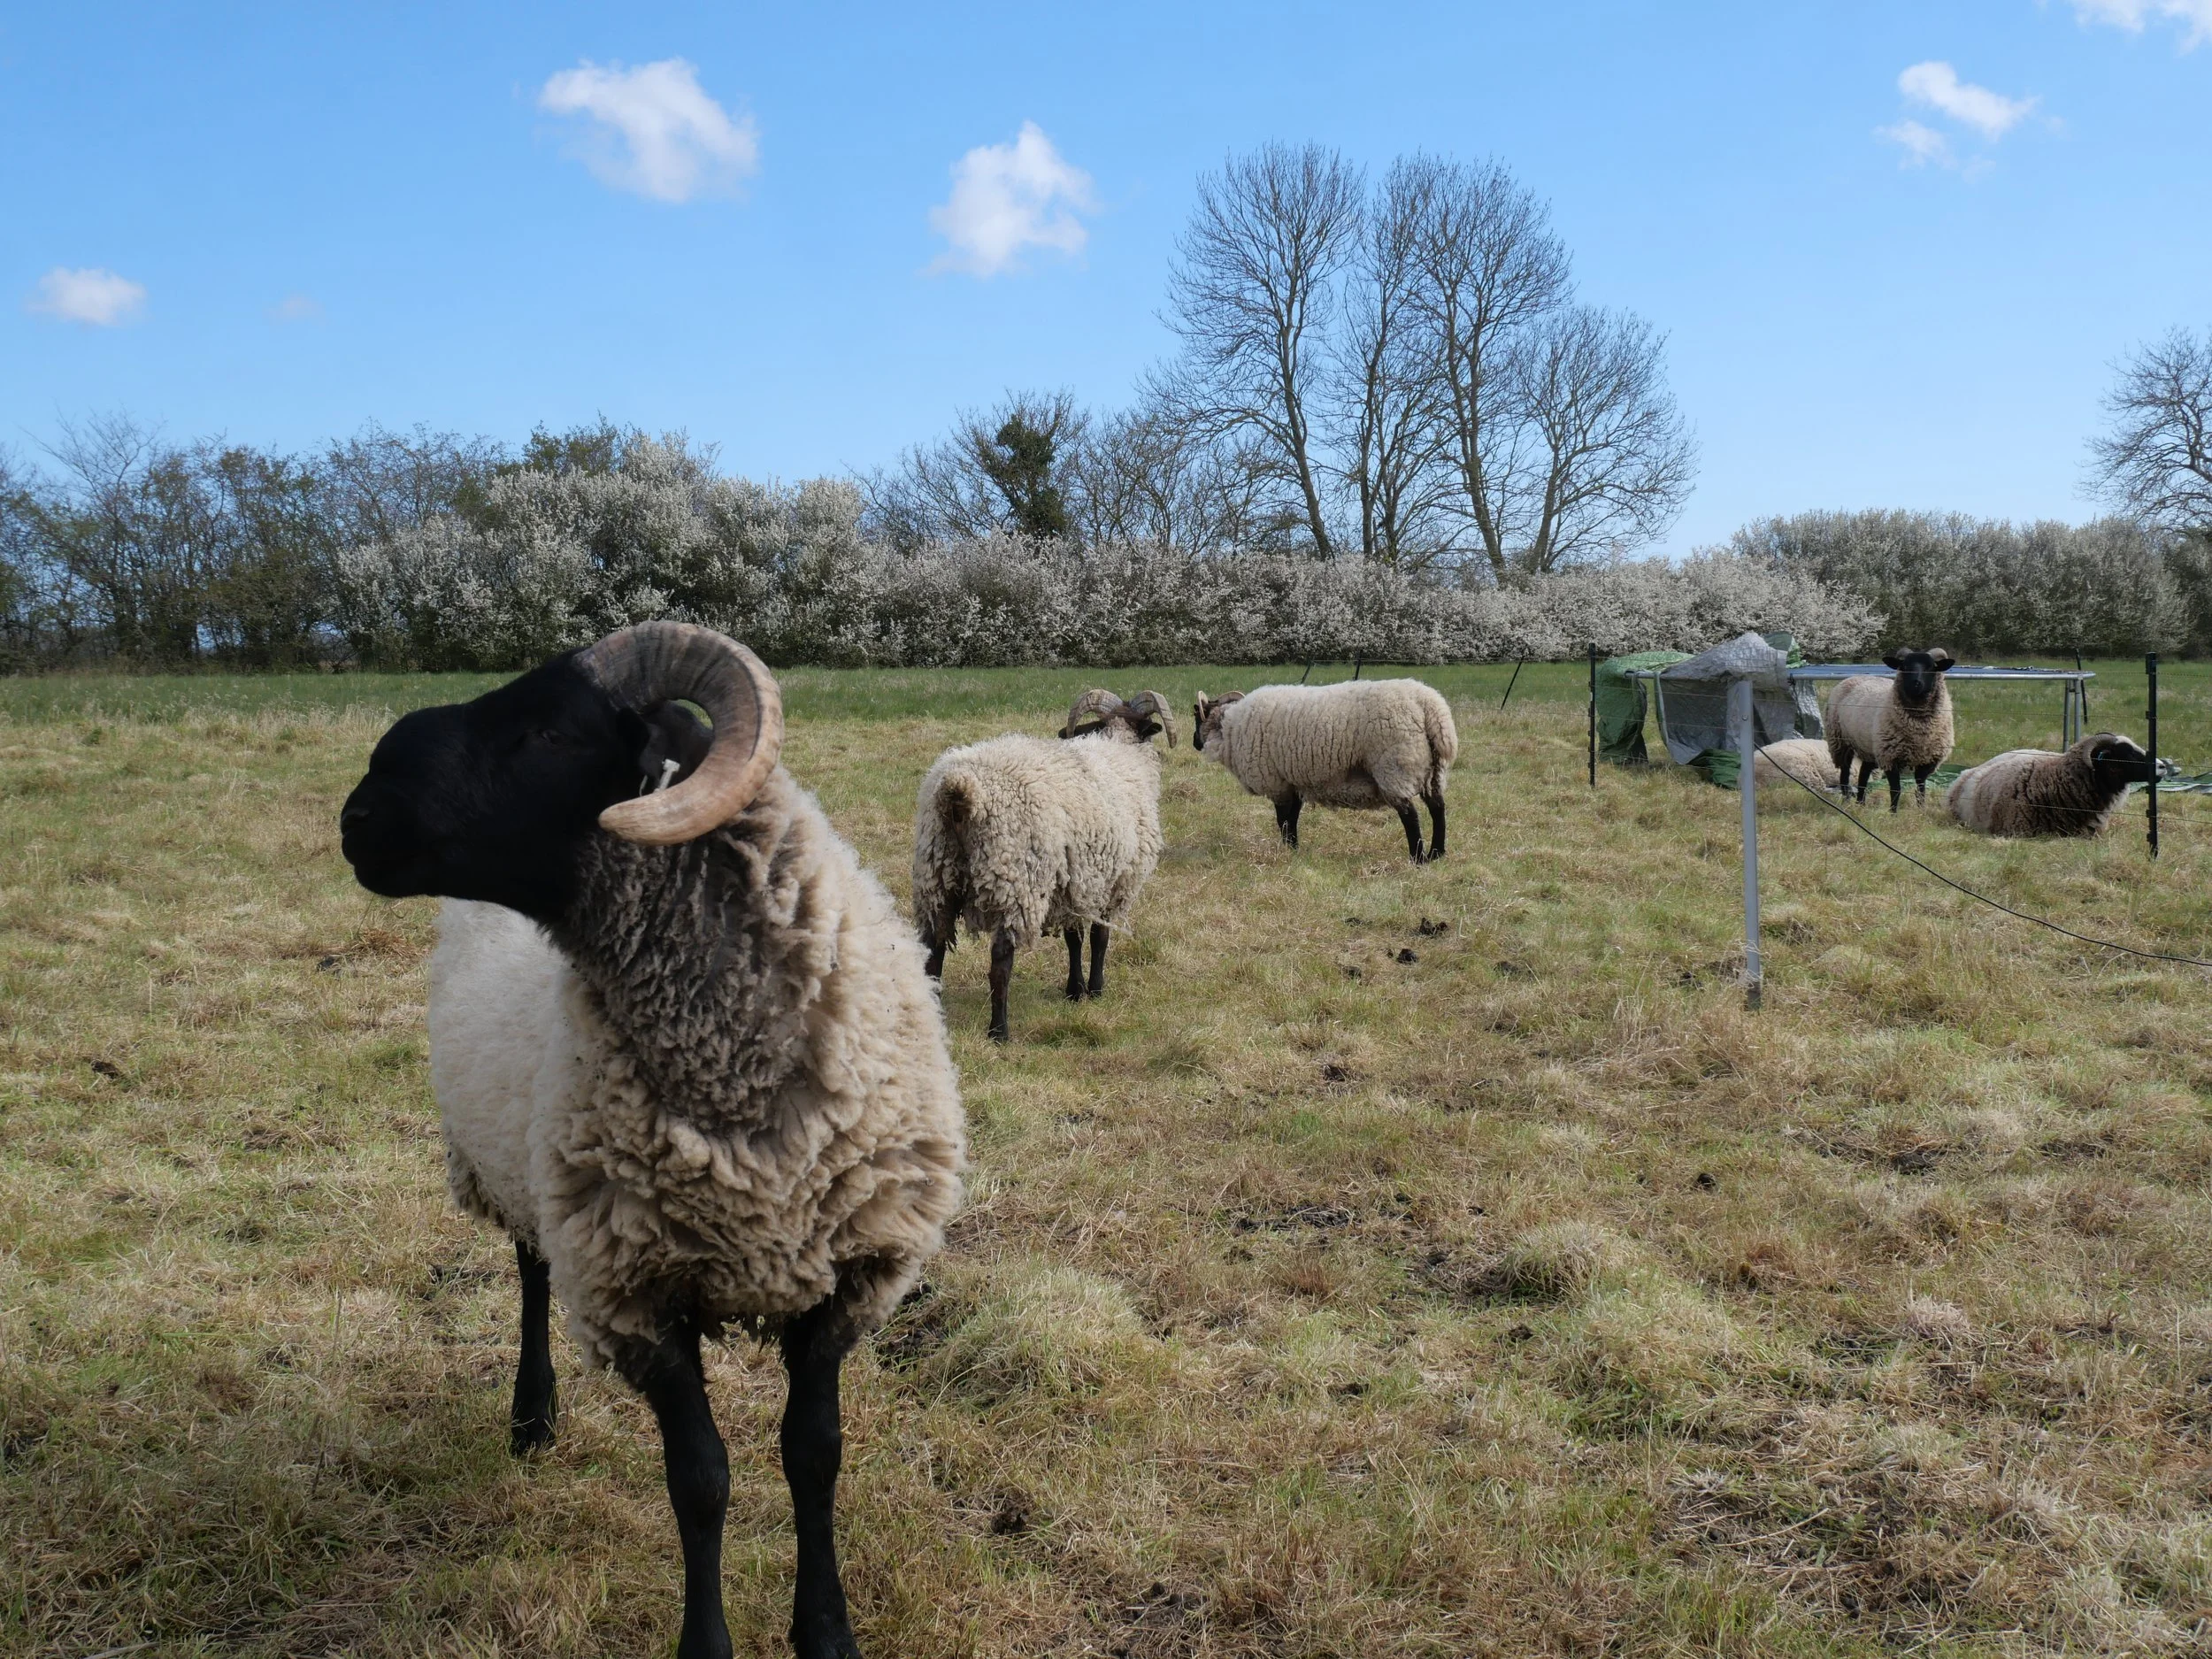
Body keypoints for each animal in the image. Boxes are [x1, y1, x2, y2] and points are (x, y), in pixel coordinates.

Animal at [340, 623, 965, 1659]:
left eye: (549, 730)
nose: (357, 819)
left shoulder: (845, 1274)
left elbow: (815, 1456)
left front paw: (825, 1630)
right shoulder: (638, 1289)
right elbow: (701, 1481)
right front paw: (705, 1644)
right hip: (524, 1174)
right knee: (531, 1275)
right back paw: (532, 1414)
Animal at [912, 689, 1169, 1042]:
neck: (1120, 751)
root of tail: (960, 788)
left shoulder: (1074, 880)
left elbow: (1074, 937)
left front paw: (1075, 991)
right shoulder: (1114, 880)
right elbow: (1100, 937)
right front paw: (1096, 989)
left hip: (937, 873)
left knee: (933, 953)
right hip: (1014, 879)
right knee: (1000, 962)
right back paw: (1000, 1032)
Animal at [1191, 678, 1457, 862]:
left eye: (1196, 718)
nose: (1194, 743)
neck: (1229, 727)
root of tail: (1431, 708)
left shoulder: (1278, 783)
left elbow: (1283, 820)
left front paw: (1287, 850)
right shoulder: (1294, 782)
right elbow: (1292, 819)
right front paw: (1294, 850)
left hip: (1395, 766)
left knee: (1410, 816)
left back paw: (1417, 859)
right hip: (1433, 770)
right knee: (1438, 809)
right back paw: (1437, 854)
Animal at [1825, 649, 1956, 812]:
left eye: (1931, 667)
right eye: (1904, 666)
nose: (1915, 684)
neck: (1918, 729)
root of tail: (1854, 676)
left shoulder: (1928, 760)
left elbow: (1921, 789)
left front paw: (1921, 810)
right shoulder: (1890, 757)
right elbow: (1896, 789)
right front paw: (1893, 813)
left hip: (1870, 748)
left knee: (1863, 774)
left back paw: (1861, 803)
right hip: (1840, 742)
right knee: (1844, 774)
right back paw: (1847, 801)